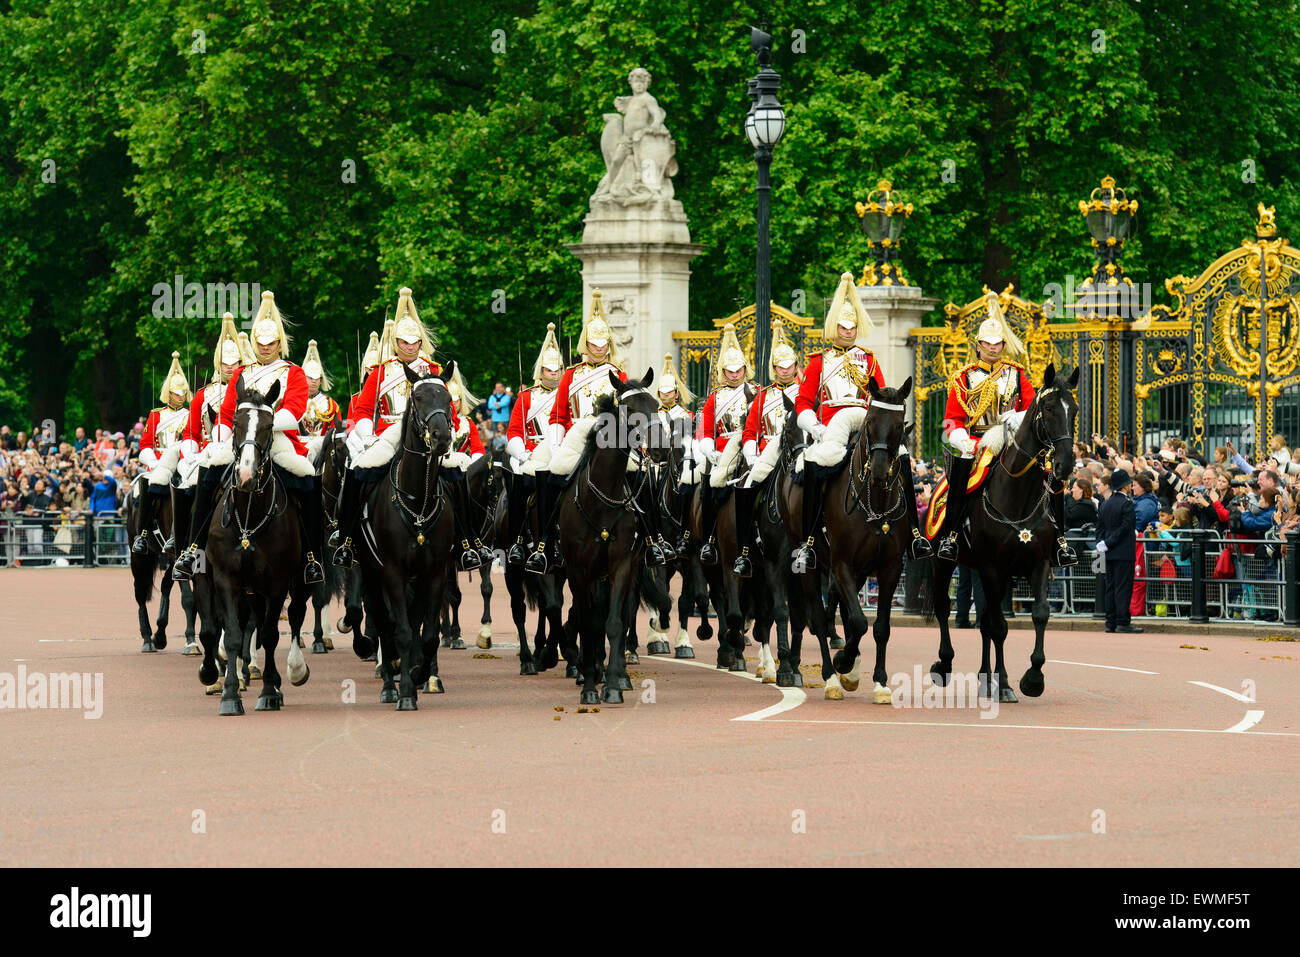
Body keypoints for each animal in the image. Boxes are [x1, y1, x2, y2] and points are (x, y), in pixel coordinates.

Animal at [207, 377, 312, 715]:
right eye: (236, 423)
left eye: (269, 426)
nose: (246, 476)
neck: (249, 518)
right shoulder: (225, 579)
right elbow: (233, 634)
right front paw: (230, 694)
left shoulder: (277, 583)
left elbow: (269, 633)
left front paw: (268, 691)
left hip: (297, 580)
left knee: (295, 615)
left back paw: (290, 672)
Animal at [927, 364, 1080, 702]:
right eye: (1048, 408)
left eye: (1074, 410)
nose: (1064, 465)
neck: (1017, 496)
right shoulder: (990, 566)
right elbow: (999, 627)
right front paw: (1007, 683)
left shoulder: (1038, 563)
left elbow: (1039, 613)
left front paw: (1032, 678)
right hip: (942, 563)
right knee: (945, 608)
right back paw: (945, 664)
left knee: (984, 620)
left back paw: (986, 678)